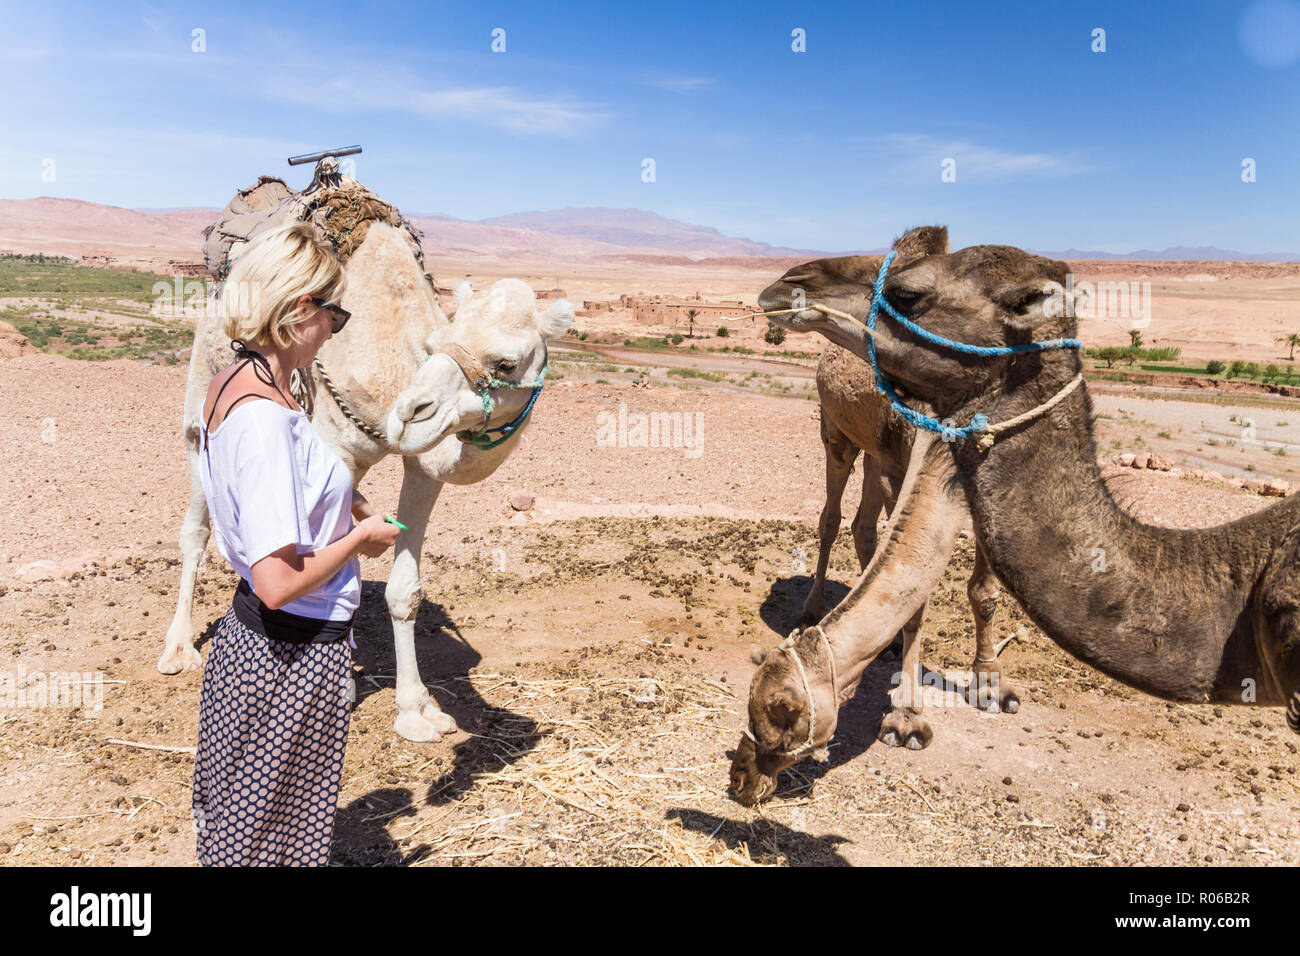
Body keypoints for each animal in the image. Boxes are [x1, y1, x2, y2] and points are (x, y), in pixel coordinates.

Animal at [159, 216, 573, 743]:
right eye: (434, 348)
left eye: (506, 363)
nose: (412, 413)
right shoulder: (335, 450)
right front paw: (342, 687)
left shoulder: (423, 467)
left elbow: (404, 589)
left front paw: (417, 710)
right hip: (202, 396)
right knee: (196, 527)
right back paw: (178, 648)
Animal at [732, 225, 1300, 801]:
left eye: (908, 293)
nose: (792, 281)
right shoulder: (918, 455)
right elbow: (919, 596)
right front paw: (907, 717)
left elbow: (983, 589)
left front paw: (989, 683)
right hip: (837, 433)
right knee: (832, 516)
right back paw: (812, 610)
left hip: (874, 449)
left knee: (863, 525)